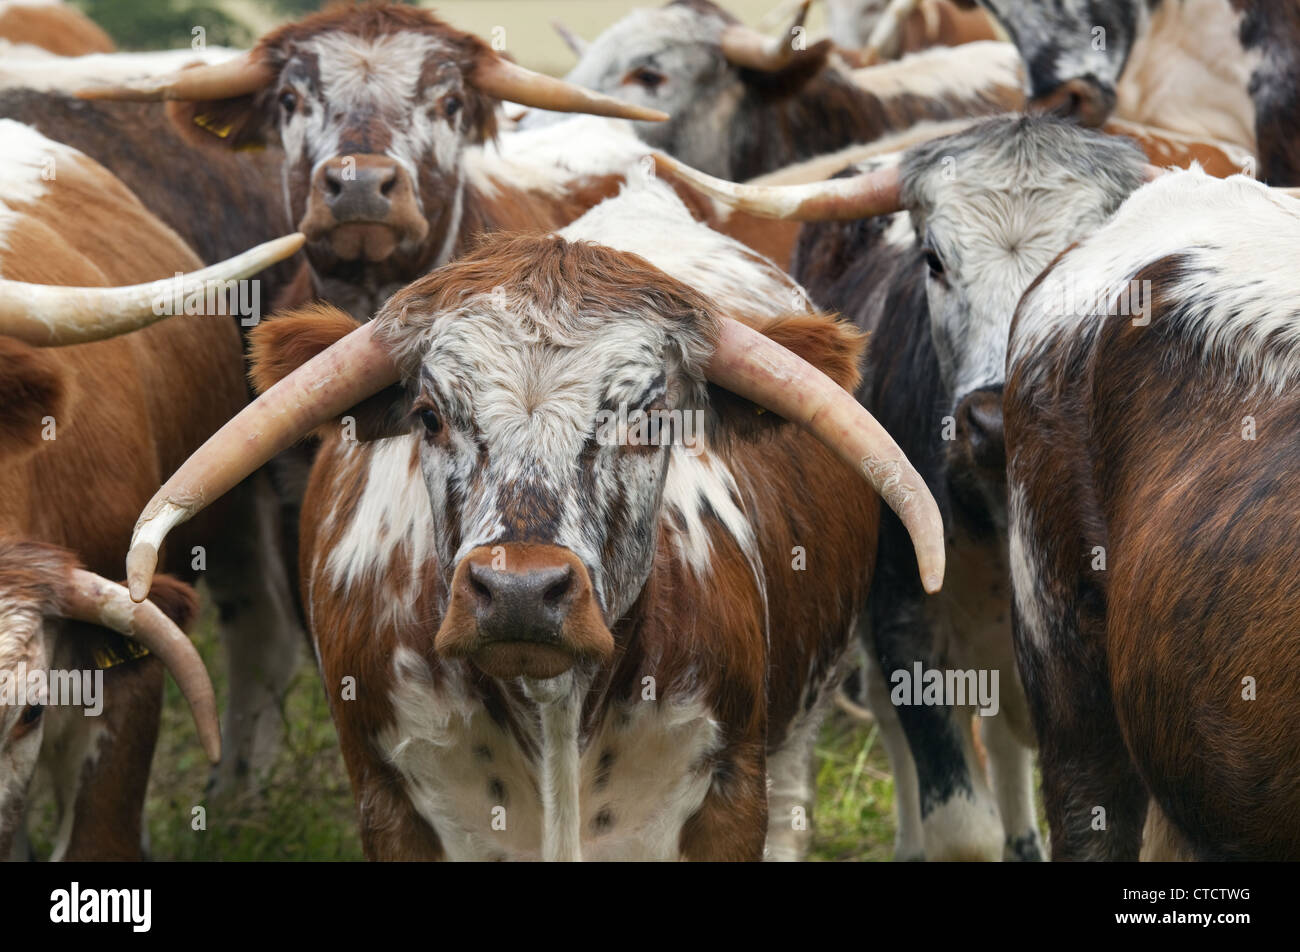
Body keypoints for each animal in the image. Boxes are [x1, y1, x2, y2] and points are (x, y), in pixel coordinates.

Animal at [120, 179, 945, 861]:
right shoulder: (389, 803)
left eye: (649, 421)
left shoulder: (733, 796)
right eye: (429, 415)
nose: (519, 592)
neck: (553, 712)